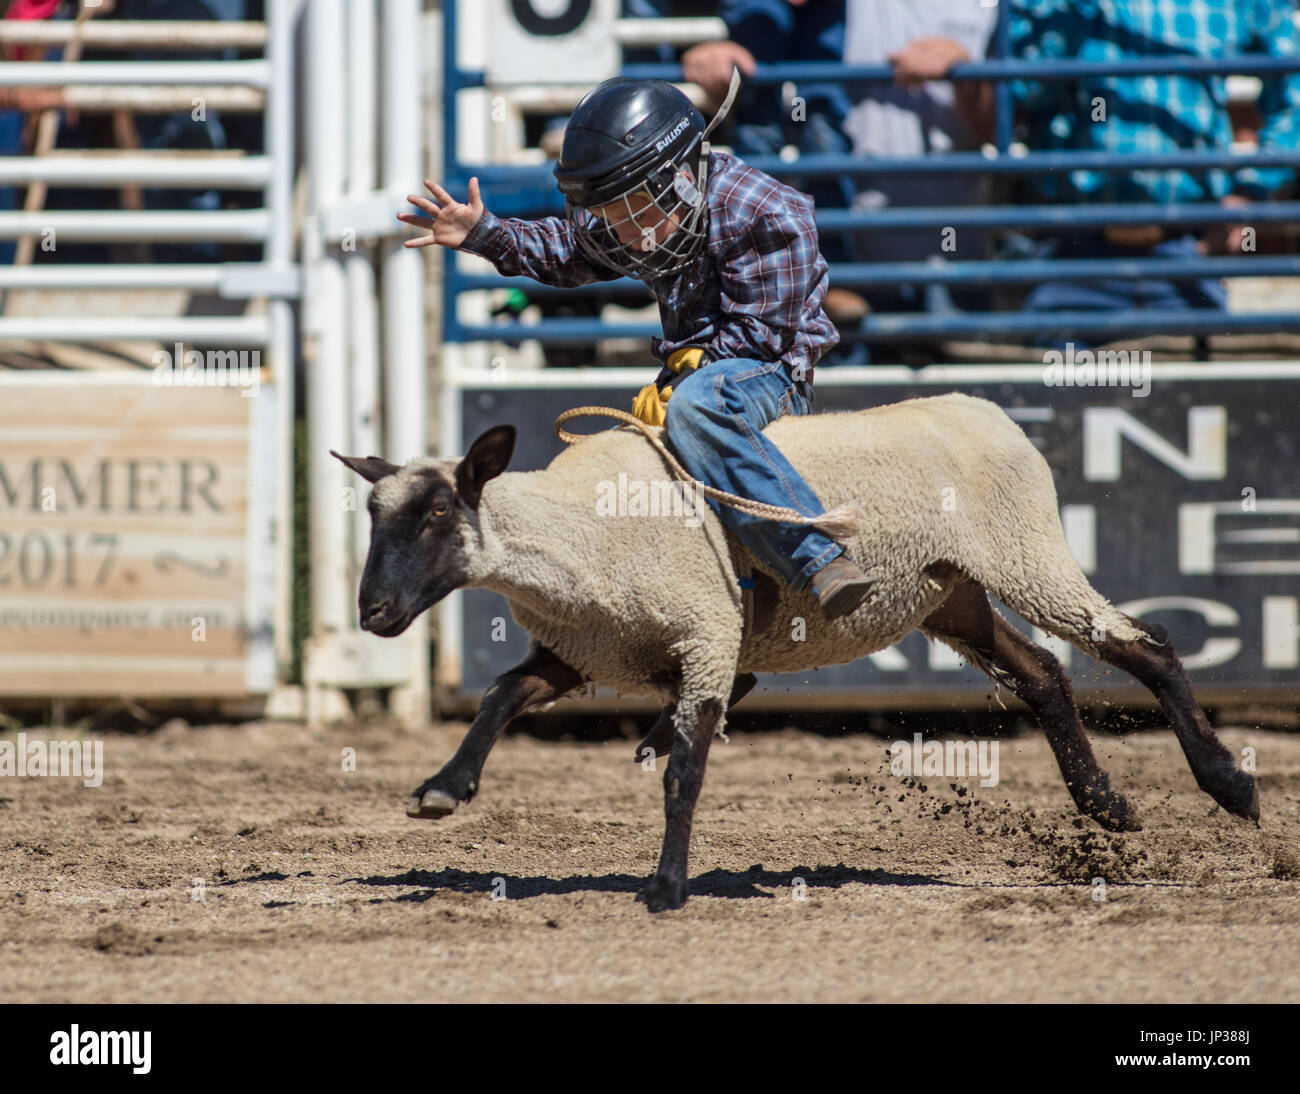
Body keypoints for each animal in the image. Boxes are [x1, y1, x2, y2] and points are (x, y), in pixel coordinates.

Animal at [333, 391, 1259, 912]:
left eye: (437, 514)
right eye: (374, 516)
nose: (373, 611)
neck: (577, 532)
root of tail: (983, 408)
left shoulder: (707, 637)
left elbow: (685, 770)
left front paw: (666, 887)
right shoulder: (582, 650)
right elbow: (497, 696)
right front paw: (443, 789)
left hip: (1026, 555)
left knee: (1145, 647)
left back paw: (1231, 785)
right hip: (952, 593)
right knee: (1045, 675)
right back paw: (1106, 804)